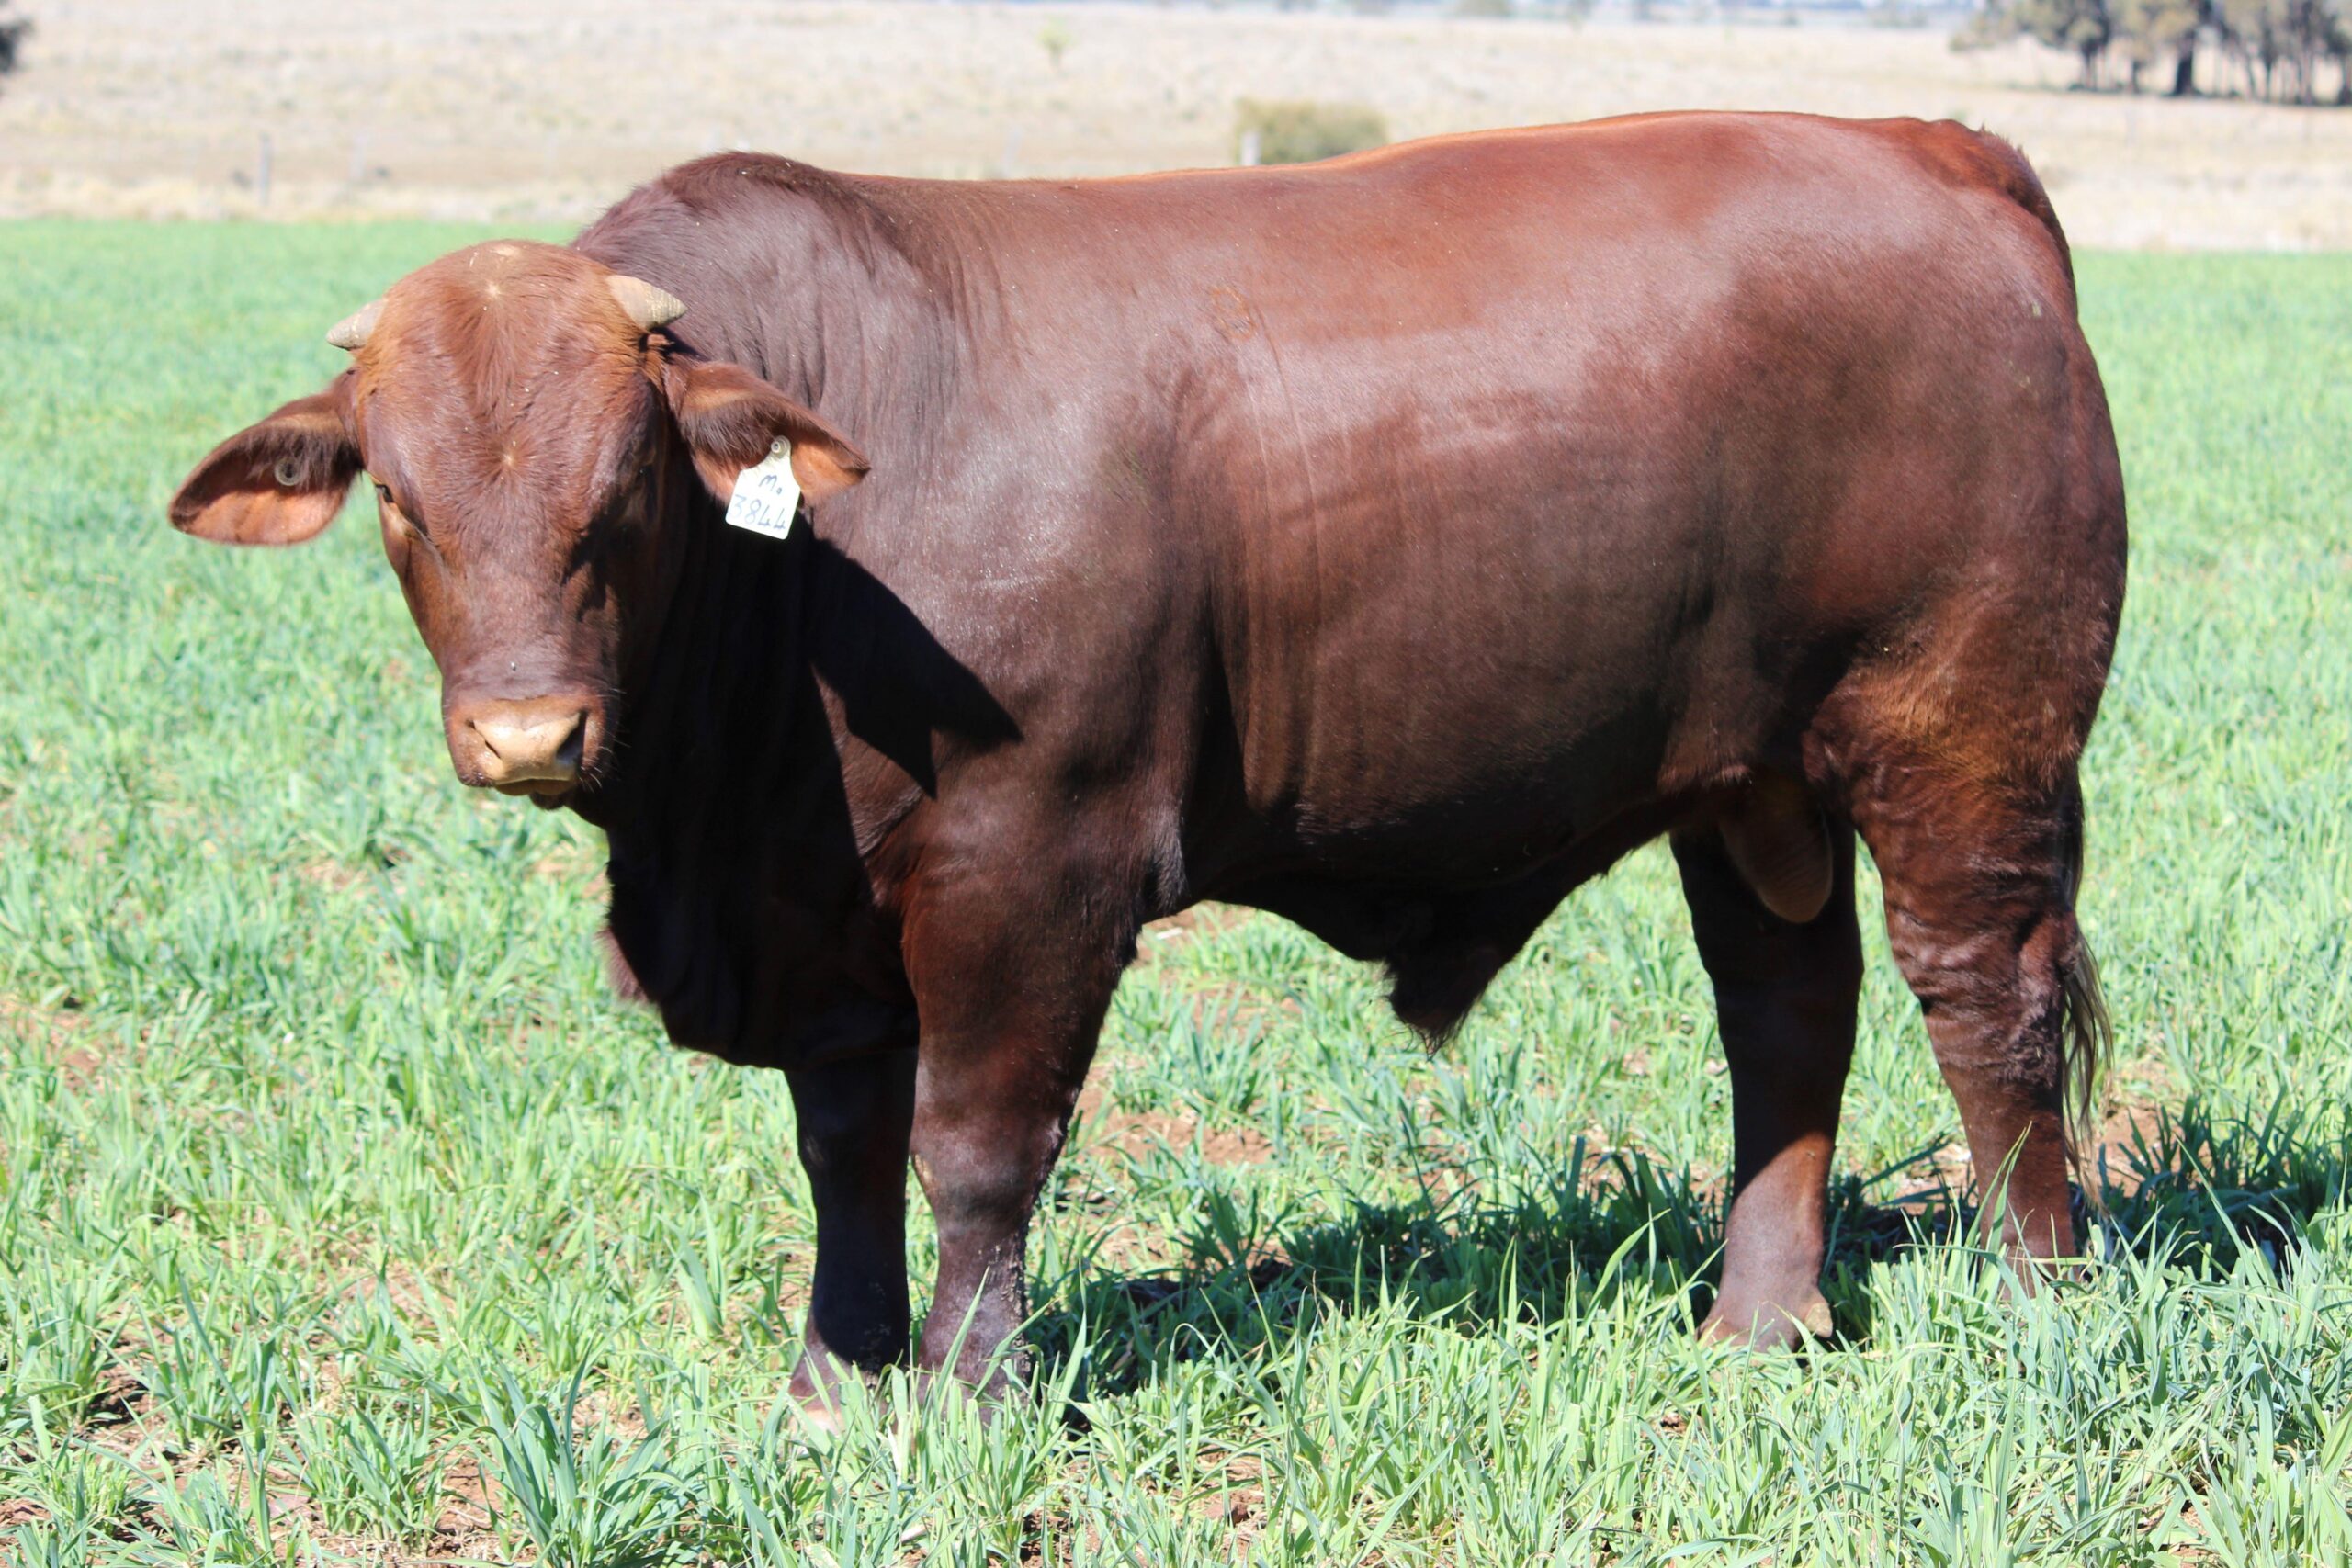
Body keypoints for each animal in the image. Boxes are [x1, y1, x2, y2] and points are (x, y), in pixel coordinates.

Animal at [169, 111, 2126, 1412]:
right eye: (400, 498)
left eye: (627, 487)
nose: (525, 731)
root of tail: (1930, 150)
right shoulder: (824, 911)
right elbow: (841, 1146)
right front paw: (836, 1379)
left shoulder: (1030, 859)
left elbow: (974, 1143)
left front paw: (968, 1393)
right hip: (1749, 779)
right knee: (1786, 1009)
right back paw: (1756, 1324)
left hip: (1963, 738)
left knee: (1987, 1005)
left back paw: (2039, 1305)